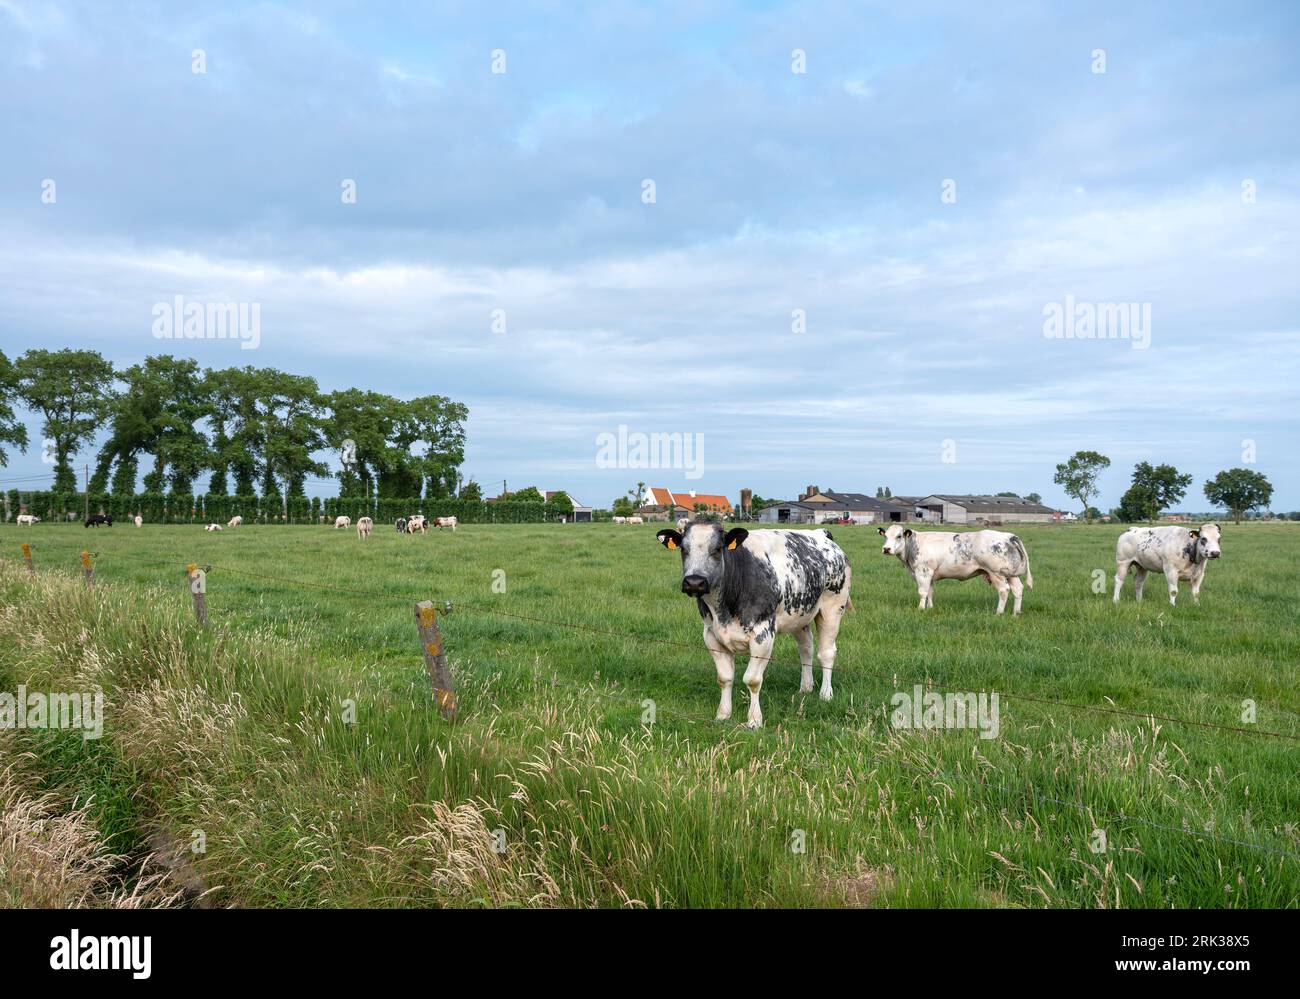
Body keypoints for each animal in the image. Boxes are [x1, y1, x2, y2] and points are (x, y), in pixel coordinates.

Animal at [656, 519, 852, 728]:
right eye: (684, 549)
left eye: (717, 549)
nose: (694, 582)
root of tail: (820, 533)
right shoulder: (711, 635)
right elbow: (724, 678)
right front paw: (723, 715)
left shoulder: (763, 635)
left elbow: (752, 680)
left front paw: (754, 720)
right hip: (800, 614)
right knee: (806, 647)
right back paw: (806, 688)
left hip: (833, 607)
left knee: (827, 653)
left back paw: (826, 694)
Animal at [879, 525, 1033, 615]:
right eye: (885, 536)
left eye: (899, 536)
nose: (886, 549)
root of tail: (1009, 536)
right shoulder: (931, 575)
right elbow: (930, 592)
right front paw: (930, 608)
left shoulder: (923, 572)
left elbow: (922, 592)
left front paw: (921, 609)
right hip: (1011, 574)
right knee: (1018, 589)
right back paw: (1016, 613)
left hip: (997, 573)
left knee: (1004, 591)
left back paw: (999, 612)